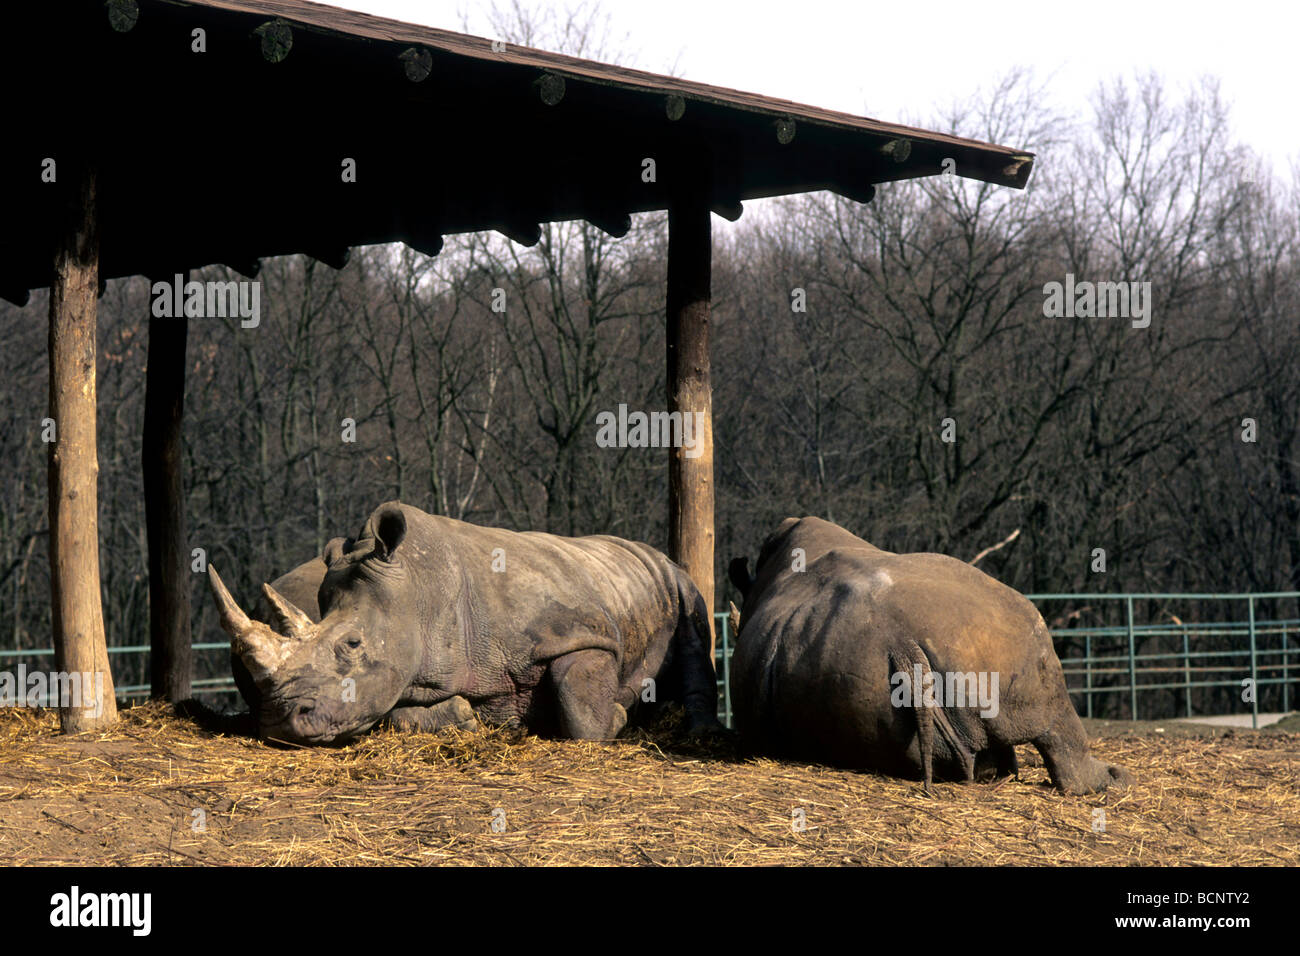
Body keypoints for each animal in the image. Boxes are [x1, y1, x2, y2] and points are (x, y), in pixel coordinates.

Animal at [210, 501, 720, 745]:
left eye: (352, 645)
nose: (277, 718)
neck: (422, 592)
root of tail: (652, 552)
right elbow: (401, 713)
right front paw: (468, 718)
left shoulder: (583, 635)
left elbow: (582, 712)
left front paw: (619, 717)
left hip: (675, 580)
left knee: (693, 639)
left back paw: (692, 729)